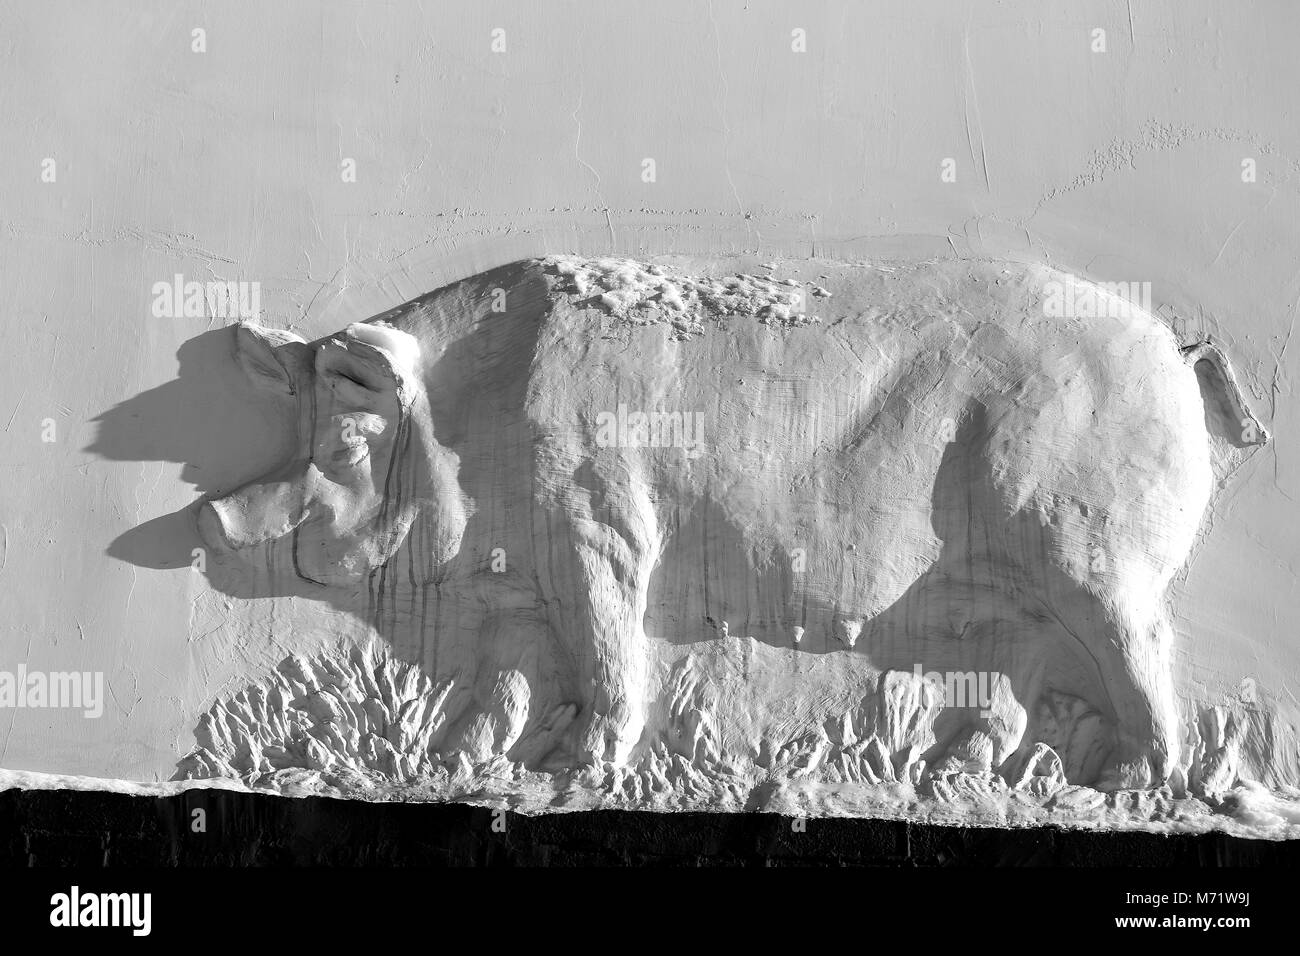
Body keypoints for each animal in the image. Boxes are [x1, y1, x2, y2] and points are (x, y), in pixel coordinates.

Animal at [195, 255, 1268, 790]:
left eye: (344, 440)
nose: (215, 511)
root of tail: (1174, 347)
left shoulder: (600, 525)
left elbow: (606, 649)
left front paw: (582, 771)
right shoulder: (522, 576)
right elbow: (508, 669)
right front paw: (468, 763)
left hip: (1086, 544)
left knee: (1142, 642)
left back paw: (1133, 783)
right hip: (1020, 580)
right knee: (1021, 669)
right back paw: (960, 777)